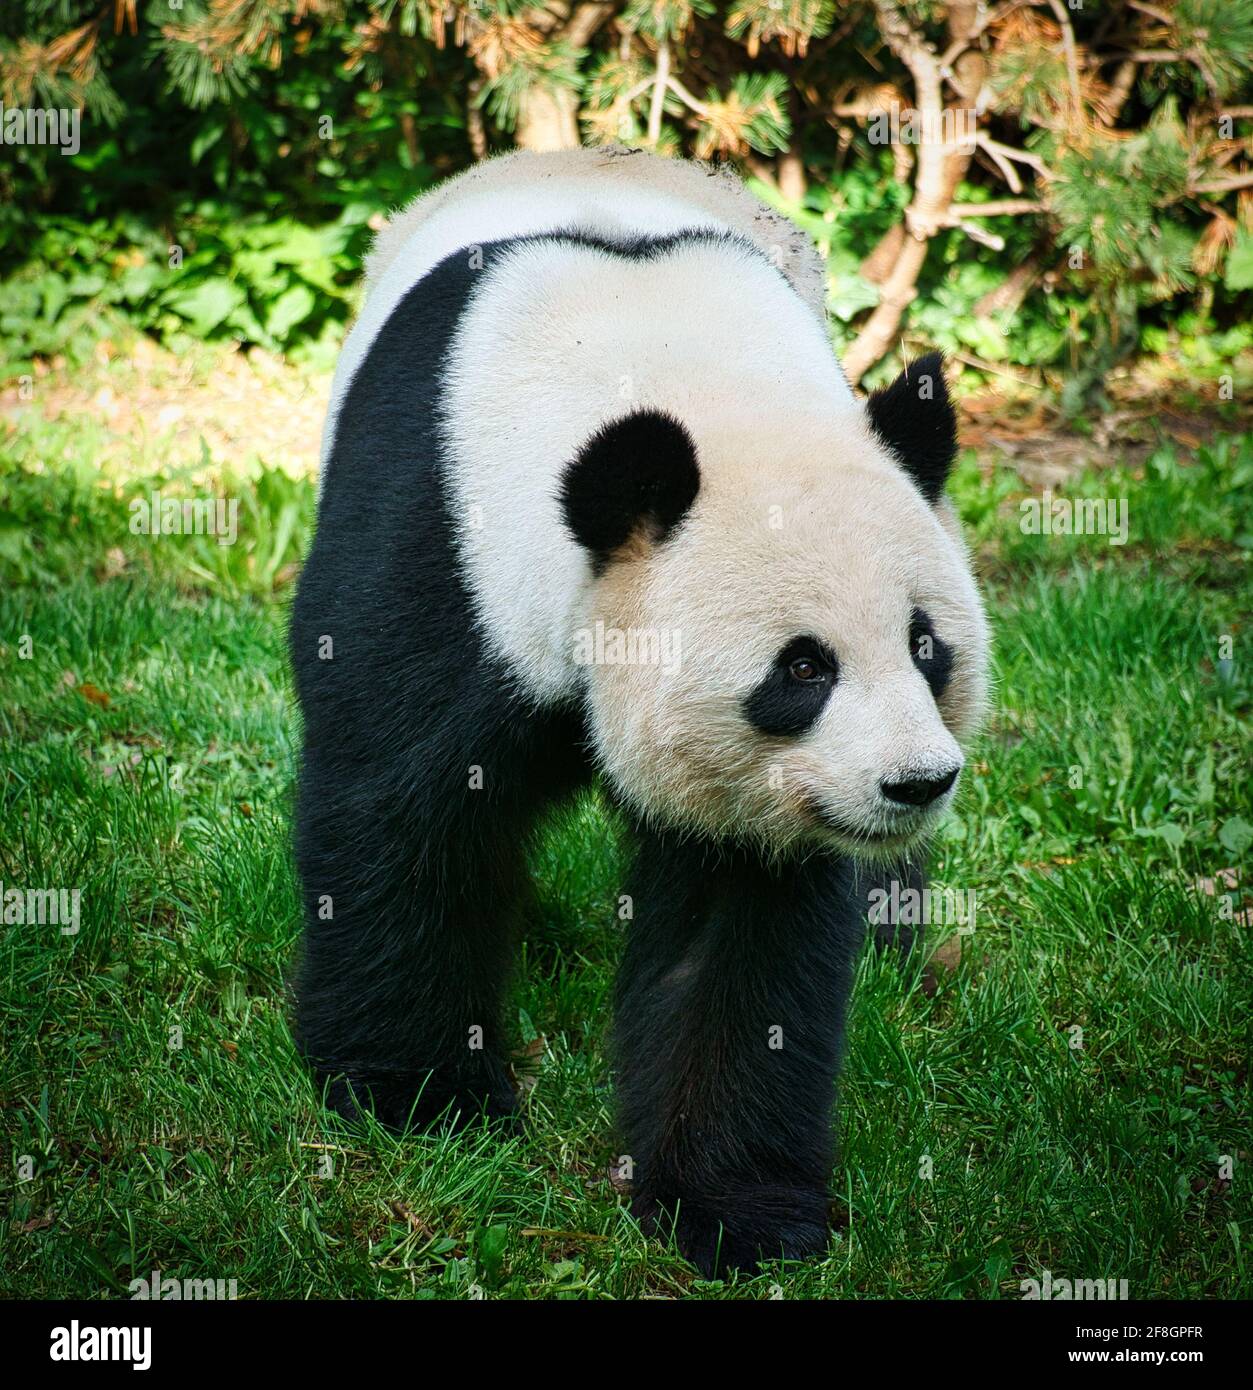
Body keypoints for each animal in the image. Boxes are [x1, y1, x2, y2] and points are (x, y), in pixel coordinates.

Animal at [290, 146, 990, 1277]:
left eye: (927, 648)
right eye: (801, 669)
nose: (913, 782)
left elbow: (742, 926)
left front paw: (732, 1209)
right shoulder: (445, 537)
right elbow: (399, 808)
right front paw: (420, 1100)